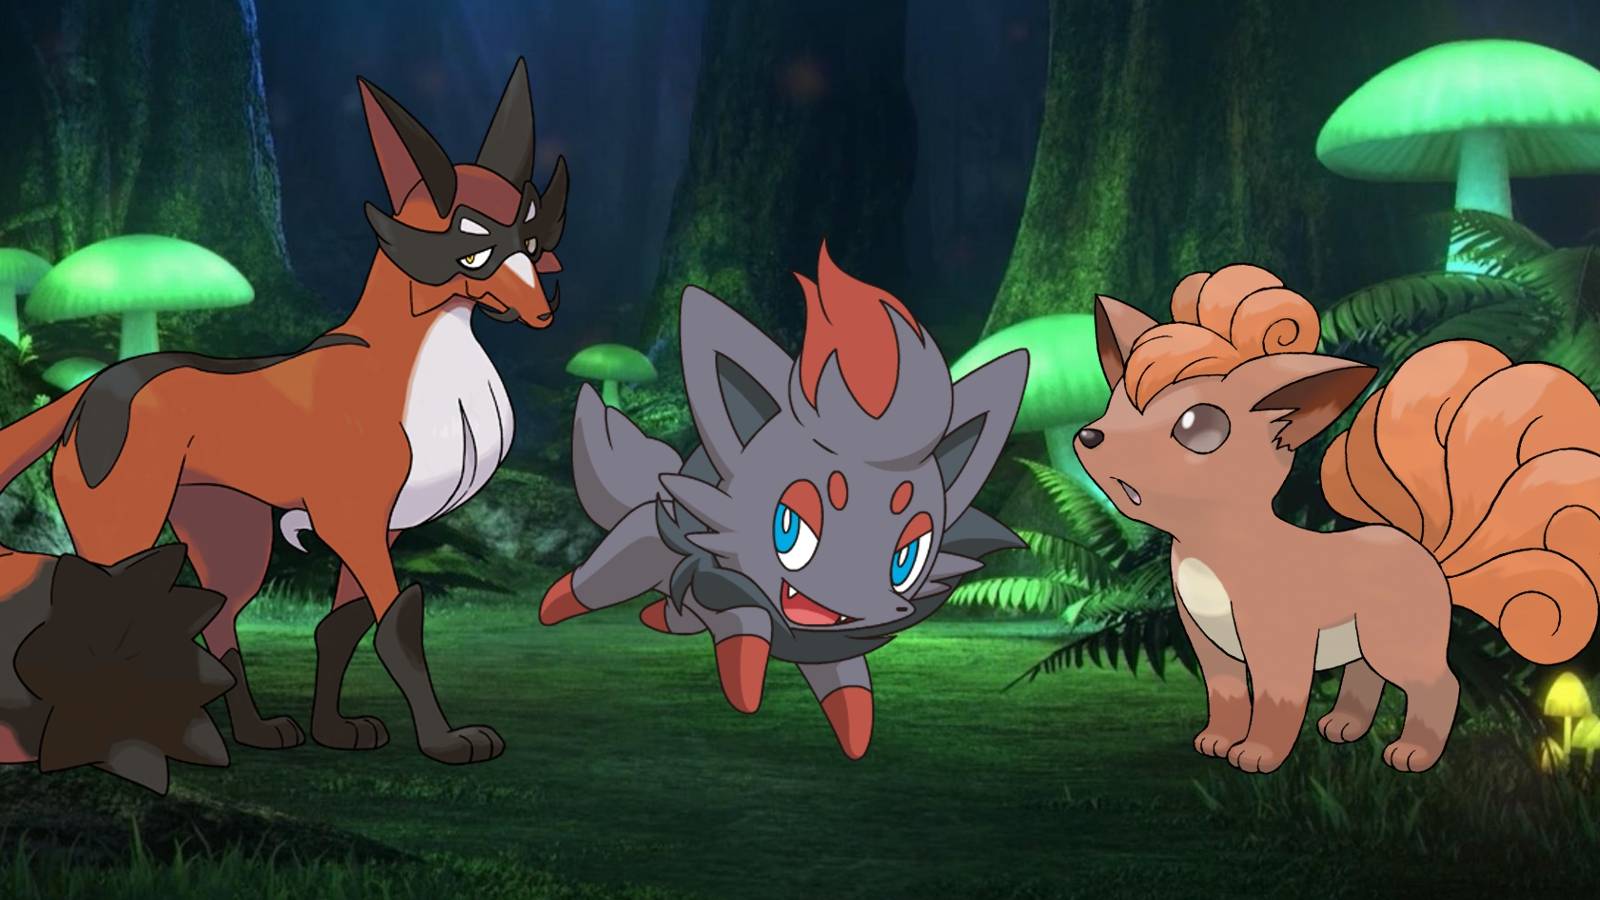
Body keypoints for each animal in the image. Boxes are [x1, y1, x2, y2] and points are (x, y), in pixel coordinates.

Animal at [0, 58, 568, 765]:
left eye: (533, 242)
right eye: (472, 253)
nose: (541, 312)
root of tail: (93, 388)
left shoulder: (384, 530)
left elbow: (340, 627)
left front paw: (336, 732)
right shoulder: (351, 520)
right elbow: (398, 628)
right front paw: (445, 740)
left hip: (232, 533)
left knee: (218, 617)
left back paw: (254, 731)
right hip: (123, 529)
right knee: (102, 612)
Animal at [538, 242, 1028, 758]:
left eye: (907, 560)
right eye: (789, 527)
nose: (855, 596)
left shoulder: (832, 643)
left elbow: (849, 684)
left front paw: (856, 734)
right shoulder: (720, 583)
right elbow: (744, 618)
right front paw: (745, 682)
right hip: (642, 541)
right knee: (602, 576)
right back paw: (554, 605)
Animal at [1077, 263, 1600, 773]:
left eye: (1199, 427)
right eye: (1117, 402)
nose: (1089, 436)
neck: (1211, 554)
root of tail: (1426, 554)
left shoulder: (1279, 643)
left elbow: (1277, 702)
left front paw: (1258, 755)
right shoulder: (1209, 644)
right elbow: (1227, 697)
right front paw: (1216, 742)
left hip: (1396, 642)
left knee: (1440, 684)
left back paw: (1414, 754)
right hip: (1366, 641)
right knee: (1364, 677)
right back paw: (1344, 726)